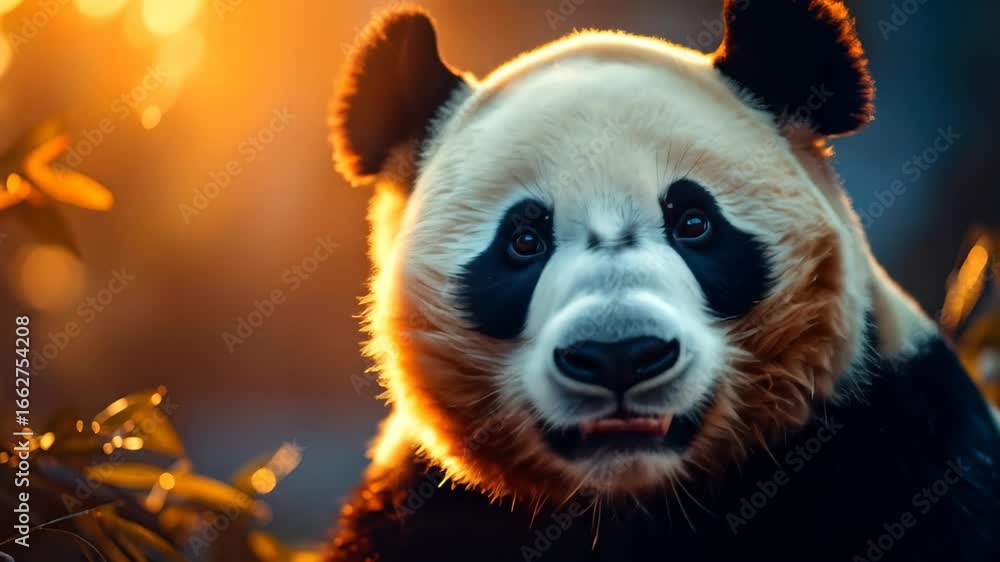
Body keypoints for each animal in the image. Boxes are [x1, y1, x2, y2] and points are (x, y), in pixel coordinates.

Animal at [325, 1, 1000, 561]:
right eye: (524, 240)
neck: (640, 501)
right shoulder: (424, 506)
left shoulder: (901, 447)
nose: (619, 355)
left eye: (693, 223)